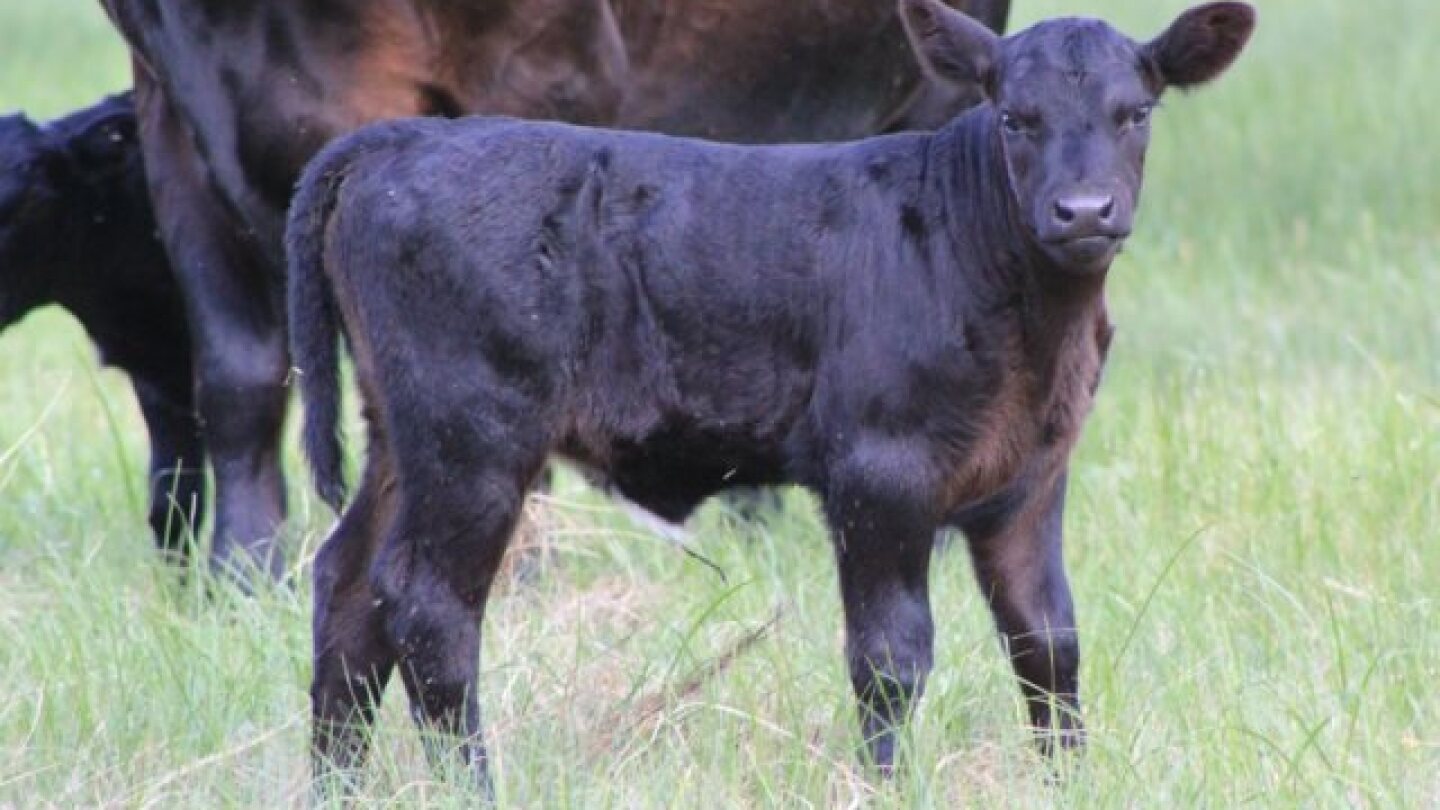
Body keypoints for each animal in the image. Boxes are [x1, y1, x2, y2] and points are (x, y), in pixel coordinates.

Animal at [98, 0, 1011, 579]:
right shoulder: (171, 112)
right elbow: (238, 380)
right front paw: (241, 574)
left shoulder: (540, 73)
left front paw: (523, 573)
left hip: (924, 84)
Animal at [286, 0, 1256, 789]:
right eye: (1015, 116)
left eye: (1136, 113)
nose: (1083, 211)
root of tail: (405, 139)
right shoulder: (878, 472)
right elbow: (891, 656)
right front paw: (888, 785)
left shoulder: (1032, 477)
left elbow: (1047, 643)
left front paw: (1068, 782)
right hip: (473, 437)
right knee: (429, 606)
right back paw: (471, 784)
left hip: (403, 436)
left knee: (349, 590)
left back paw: (336, 786)